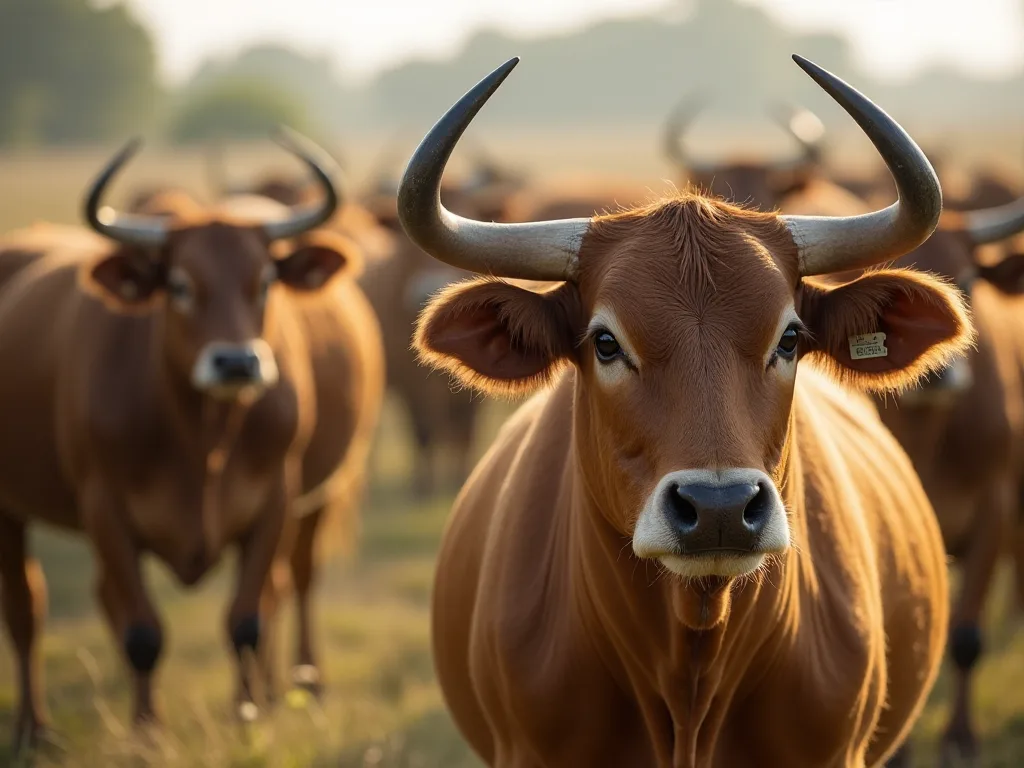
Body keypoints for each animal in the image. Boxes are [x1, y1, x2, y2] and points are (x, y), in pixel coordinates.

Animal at [0, 129, 383, 752]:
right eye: (179, 285)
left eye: (265, 281)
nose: (237, 362)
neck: (202, 438)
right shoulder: (104, 509)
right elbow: (142, 634)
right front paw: (147, 735)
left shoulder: (276, 500)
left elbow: (247, 620)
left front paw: (249, 721)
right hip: (10, 509)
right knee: (26, 610)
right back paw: (34, 732)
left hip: (322, 496)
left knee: (297, 580)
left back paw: (300, 686)